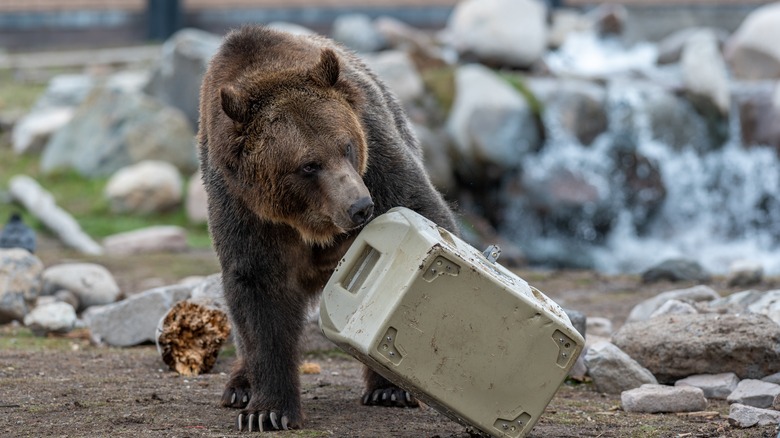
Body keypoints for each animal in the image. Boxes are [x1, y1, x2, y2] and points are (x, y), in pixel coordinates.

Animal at [198, 25, 458, 432]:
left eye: (346, 146)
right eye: (308, 165)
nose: (360, 206)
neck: (308, 221)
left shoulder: (379, 158)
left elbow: (423, 211)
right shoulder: (243, 208)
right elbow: (259, 293)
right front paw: (266, 411)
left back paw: (388, 390)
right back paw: (239, 385)